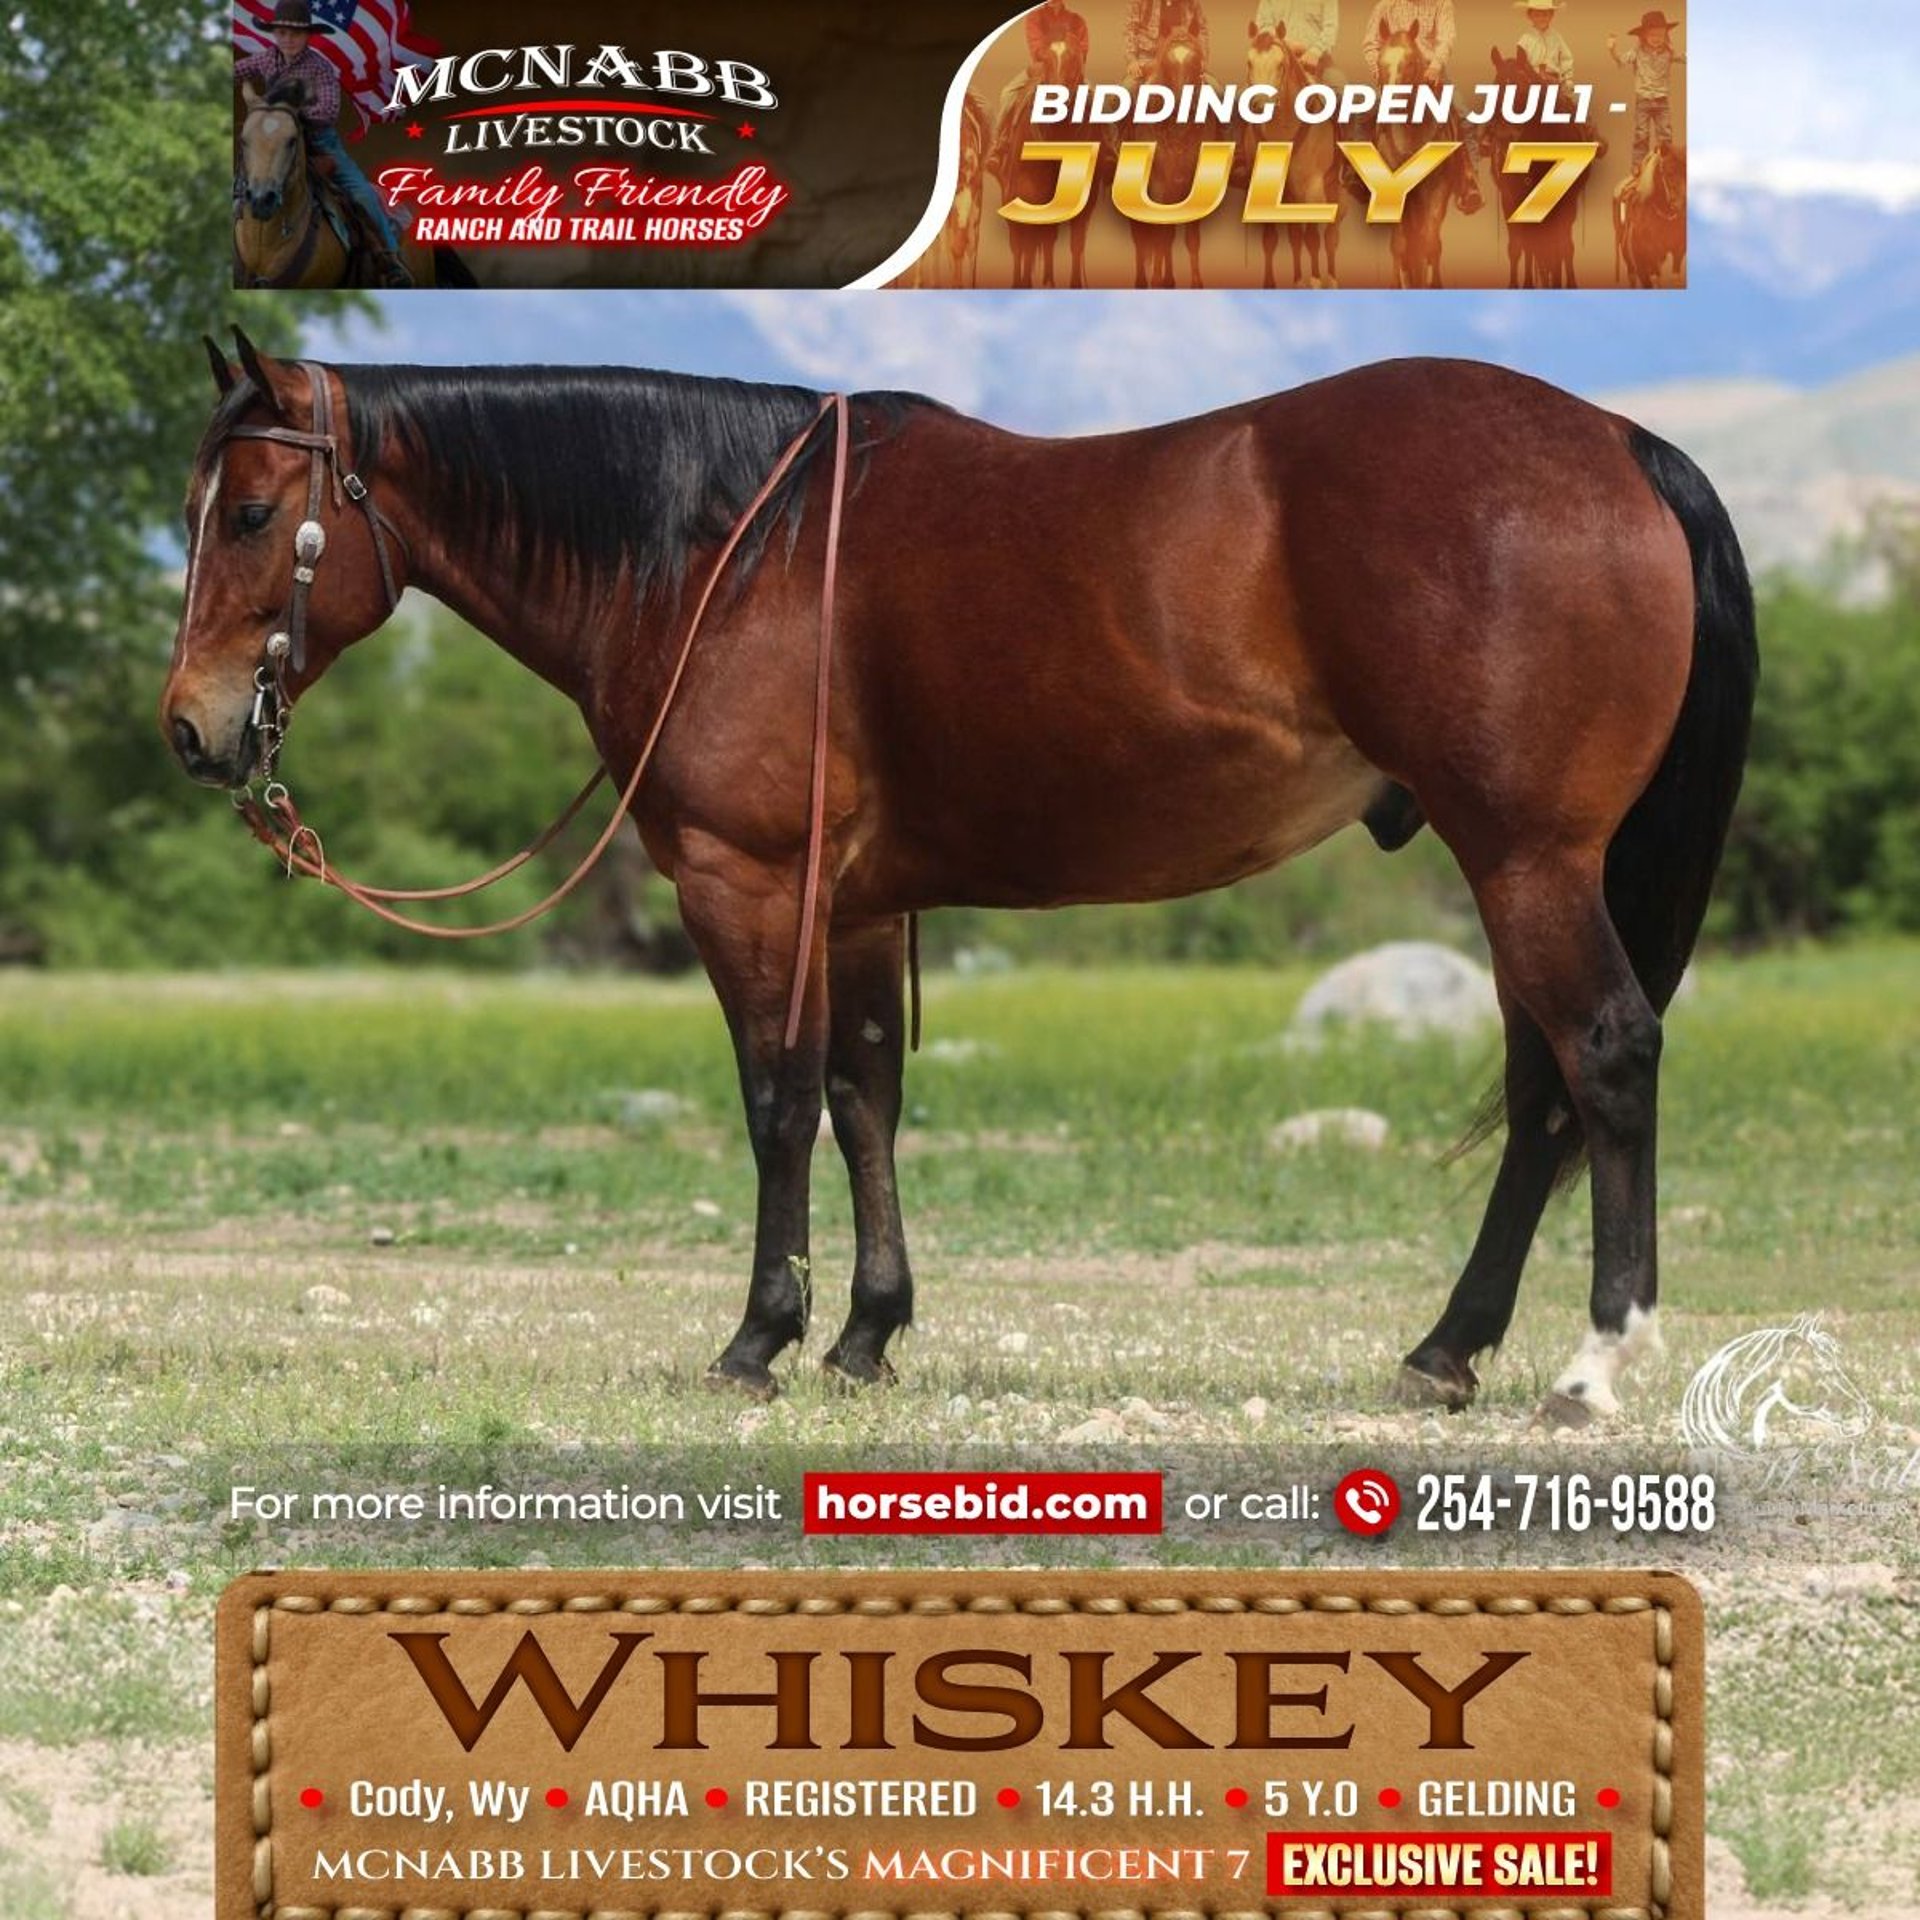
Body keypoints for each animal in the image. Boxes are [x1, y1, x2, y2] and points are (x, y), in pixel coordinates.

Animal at [165, 336, 1757, 1425]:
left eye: (248, 515)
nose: (190, 729)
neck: (725, 551)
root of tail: (1621, 443)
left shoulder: (749, 883)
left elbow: (778, 1099)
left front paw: (760, 1337)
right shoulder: (863, 902)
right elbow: (866, 1093)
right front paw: (869, 1332)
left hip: (1528, 860)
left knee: (1603, 1057)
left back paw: (1595, 1362)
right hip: (1531, 869)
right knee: (1544, 1096)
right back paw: (1447, 1349)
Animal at [994, 41, 1102, 288]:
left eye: (1075, 61)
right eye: (1045, 60)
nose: (1056, 100)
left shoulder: (1086, 200)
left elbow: (1074, 243)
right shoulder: (1028, 194)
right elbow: (1027, 244)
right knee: (1019, 242)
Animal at [1122, 29, 1213, 288]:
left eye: (1195, 62)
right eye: (1167, 65)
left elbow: (1189, 238)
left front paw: (1195, 283)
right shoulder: (1158, 187)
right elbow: (1158, 237)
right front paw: (1155, 280)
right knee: (1142, 237)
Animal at [1240, 34, 1343, 290]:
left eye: (1281, 65)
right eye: (1249, 62)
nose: (1258, 105)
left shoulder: (1314, 190)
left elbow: (1314, 238)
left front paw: (1316, 279)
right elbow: (1272, 239)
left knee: (1330, 237)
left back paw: (1331, 279)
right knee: (1296, 236)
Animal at [1485, 45, 1599, 289]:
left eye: (1523, 89)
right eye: (1494, 90)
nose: (1505, 137)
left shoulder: (1565, 202)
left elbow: (1560, 245)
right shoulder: (1511, 199)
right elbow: (1519, 246)